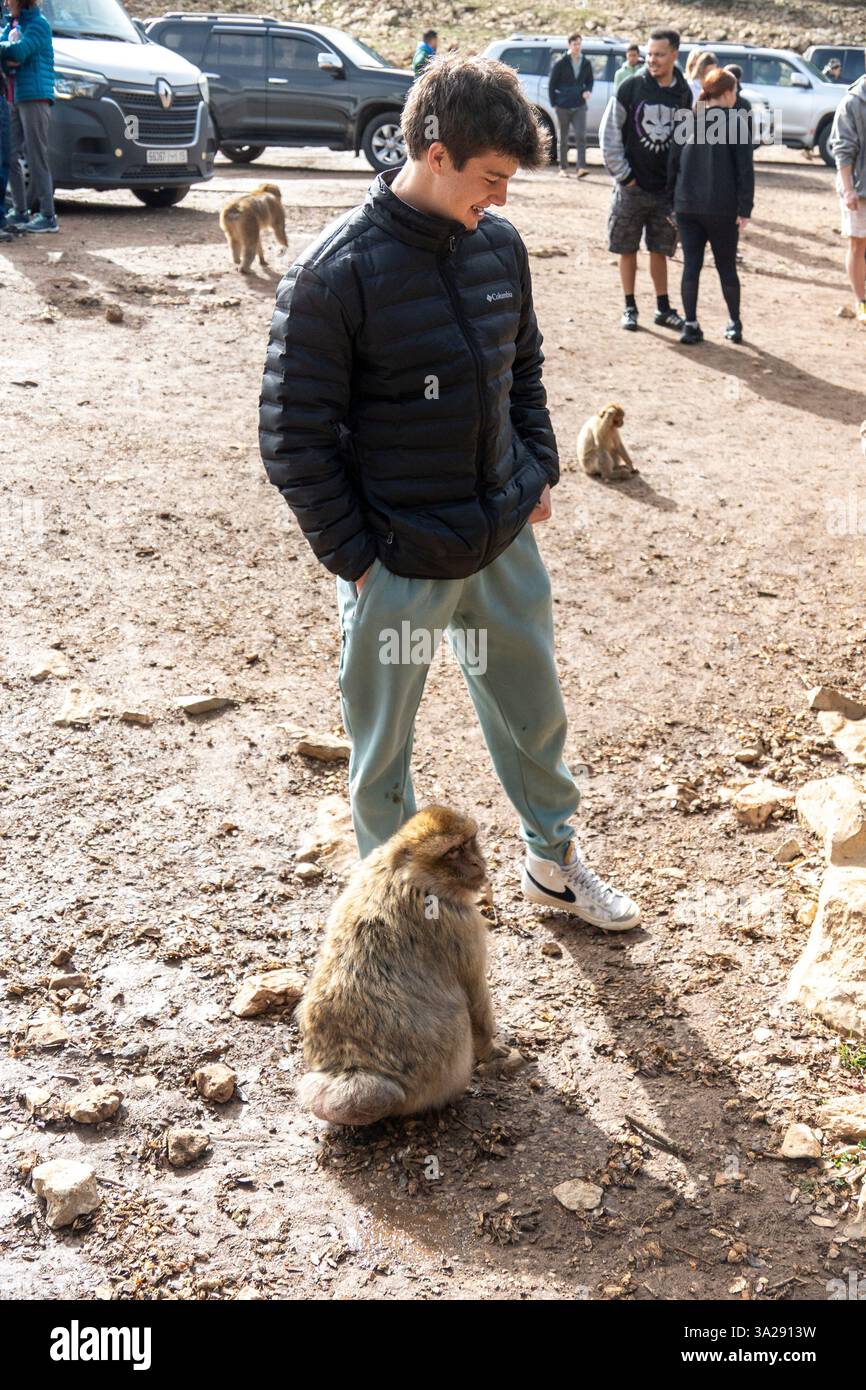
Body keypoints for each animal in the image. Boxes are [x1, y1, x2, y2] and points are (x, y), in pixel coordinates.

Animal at [297, 807, 517, 1126]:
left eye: (469, 842)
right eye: (454, 851)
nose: (478, 862)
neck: (407, 874)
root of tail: (348, 1066)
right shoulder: (460, 923)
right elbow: (475, 996)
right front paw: (492, 1049)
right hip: (433, 1080)